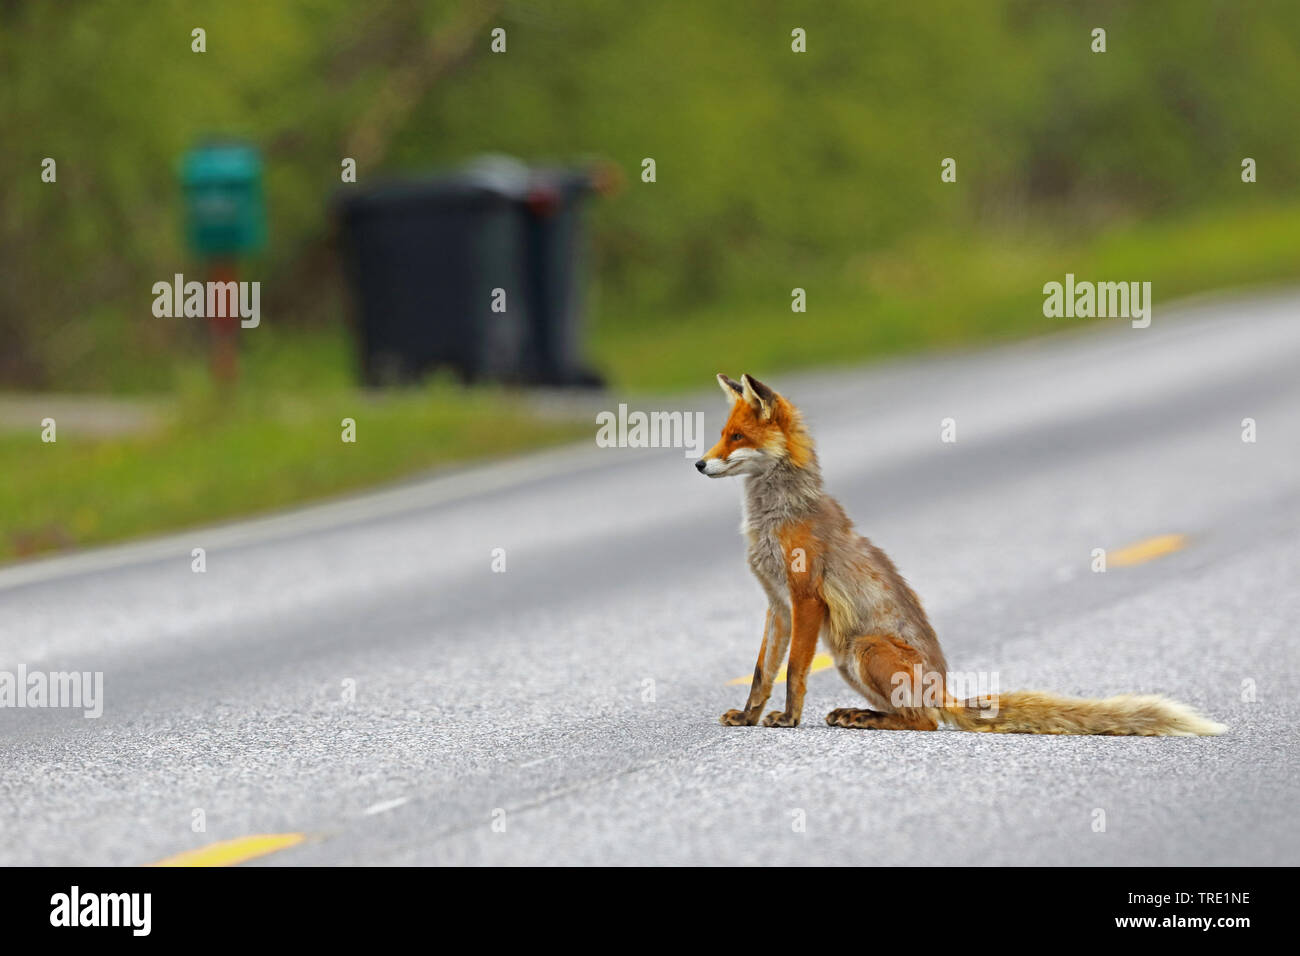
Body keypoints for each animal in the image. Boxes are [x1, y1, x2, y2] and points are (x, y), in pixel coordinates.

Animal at [696, 372, 1226, 736]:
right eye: (722, 433)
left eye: (736, 437)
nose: (699, 463)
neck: (776, 515)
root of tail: (946, 689)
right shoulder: (778, 604)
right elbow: (763, 672)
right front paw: (748, 716)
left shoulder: (806, 597)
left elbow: (793, 673)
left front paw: (787, 719)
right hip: (847, 657)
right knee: (914, 712)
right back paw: (858, 713)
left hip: (864, 649)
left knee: (925, 720)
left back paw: (870, 719)